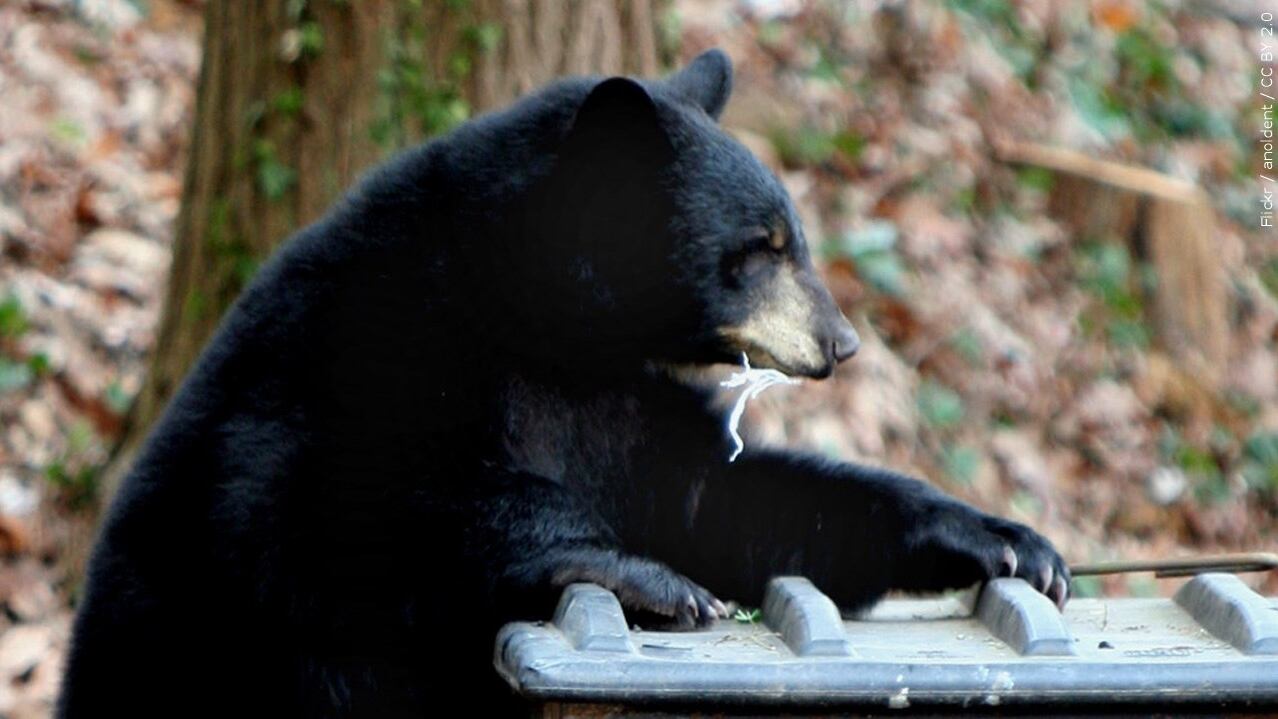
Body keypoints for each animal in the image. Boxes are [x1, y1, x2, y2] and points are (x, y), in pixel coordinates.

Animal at [59, 49, 1069, 718]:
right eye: (761, 247)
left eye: (796, 240)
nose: (843, 343)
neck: (540, 317)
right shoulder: (349, 343)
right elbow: (327, 506)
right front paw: (647, 576)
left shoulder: (620, 402)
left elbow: (727, 500)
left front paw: (1004, 540)